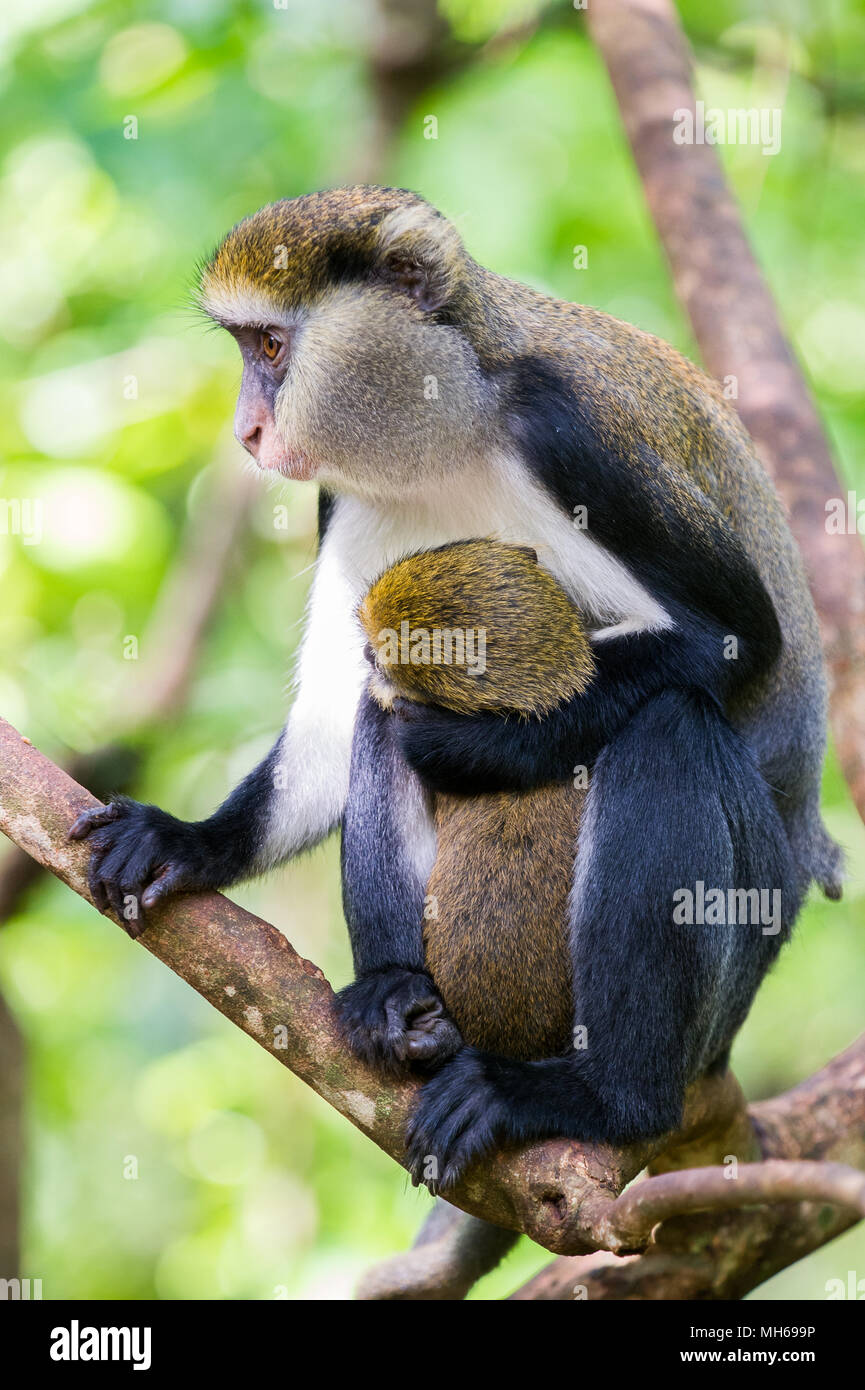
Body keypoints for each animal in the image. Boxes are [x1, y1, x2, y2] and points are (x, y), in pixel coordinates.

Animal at [69, 184, 842, 1189]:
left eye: (271, 347)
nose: (248, 431)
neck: (449, 429)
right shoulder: (343, 498)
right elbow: (335, 721)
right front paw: (190, 843)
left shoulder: (572, 442)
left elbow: (734, 638)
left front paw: (481, 744)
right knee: (374, 710)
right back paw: (398, 1002)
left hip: (741, 953)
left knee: (669, 726)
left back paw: (600, 1098)